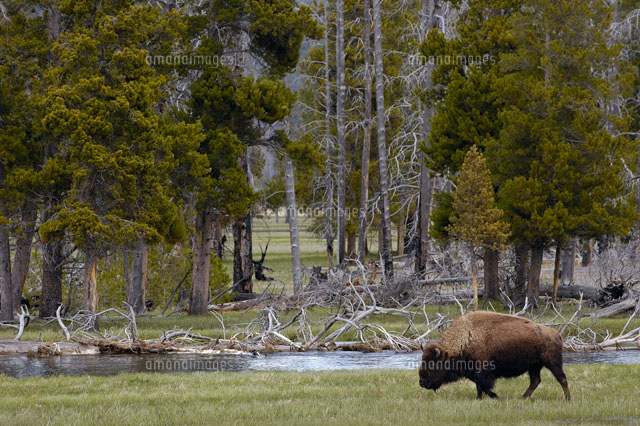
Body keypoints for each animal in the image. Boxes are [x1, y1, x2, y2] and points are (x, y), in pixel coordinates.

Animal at [419, 311, 570, 400]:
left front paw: (492, 396)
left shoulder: (482, 369)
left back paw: (567, 399)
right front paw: (483, 397)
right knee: (535, 381)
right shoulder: (474, 371)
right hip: (534, 366)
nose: (422, 382)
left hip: (552, 362)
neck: (466, 338)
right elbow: (479, 385)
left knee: (562, 378)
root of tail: (556, 334)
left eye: (432, 364)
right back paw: (523, 397)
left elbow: (482, 385)